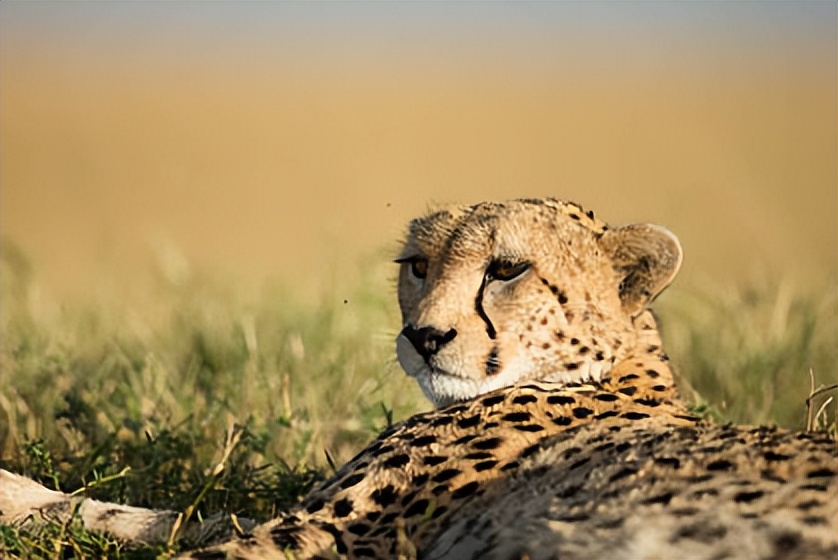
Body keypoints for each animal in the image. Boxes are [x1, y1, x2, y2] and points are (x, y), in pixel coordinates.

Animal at [2, 197, 835, 560]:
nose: (424, 336)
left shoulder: (324, 535)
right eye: (417, 267)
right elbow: (164, 517)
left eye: (506, 270)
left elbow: (155, 530)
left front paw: (14, 494)